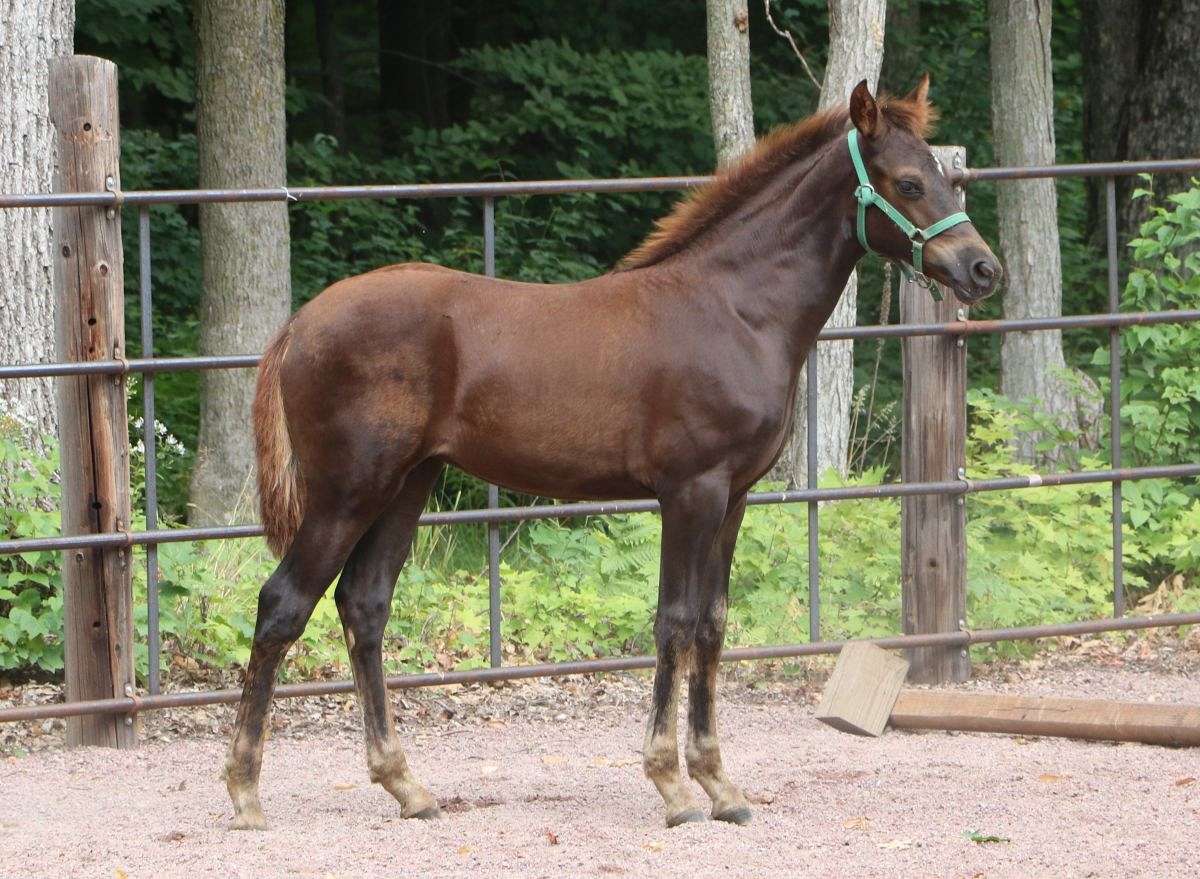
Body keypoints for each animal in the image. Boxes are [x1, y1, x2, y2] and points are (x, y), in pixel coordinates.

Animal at [223, 77, 1000, 831]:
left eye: (942, 175)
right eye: (907, 182)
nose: (983, 269)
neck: (735, 309)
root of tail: (299, 323)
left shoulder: (734, 497)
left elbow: (713, 623)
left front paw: (721, 785)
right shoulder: (691, 491)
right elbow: (675, 621)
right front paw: (673, 786)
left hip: (406, 485)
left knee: (364, 605)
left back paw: (406, 786)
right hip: (348, 491)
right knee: (283, 604)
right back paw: (245, 792)